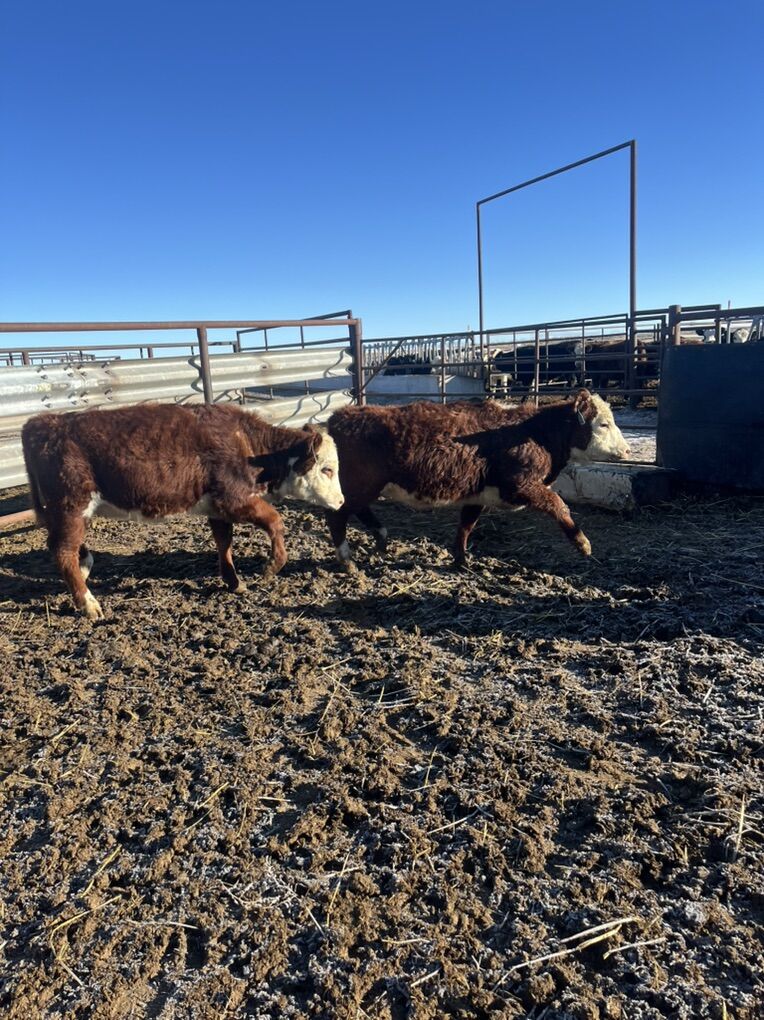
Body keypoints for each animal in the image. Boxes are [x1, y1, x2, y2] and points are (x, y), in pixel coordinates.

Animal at [21, 403, 344, 619]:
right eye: (327, 469)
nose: (341, 502)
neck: (247, 445)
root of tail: (42, 423)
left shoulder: (218, 507)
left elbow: (224, 542)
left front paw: (233, 582)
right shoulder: (235, 499)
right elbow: (276, 521)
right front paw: (271, 567)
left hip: (67, 512)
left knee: (66, 548)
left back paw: (85, 569)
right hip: (71, 506)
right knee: (63, 551)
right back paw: (88, 603)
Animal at [324, 389, 630, 570]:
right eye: (603, 424)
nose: (627, 450)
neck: (534, 431)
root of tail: (340, 417)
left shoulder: (479, 495)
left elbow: (466, 526)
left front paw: (461, 560)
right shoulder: (520, 486)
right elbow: (558, 504)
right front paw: (583, 543)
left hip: (363, 487)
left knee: (358, 511)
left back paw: (381, 537)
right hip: (360, 485)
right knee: (337, 516)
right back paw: (347, 559)